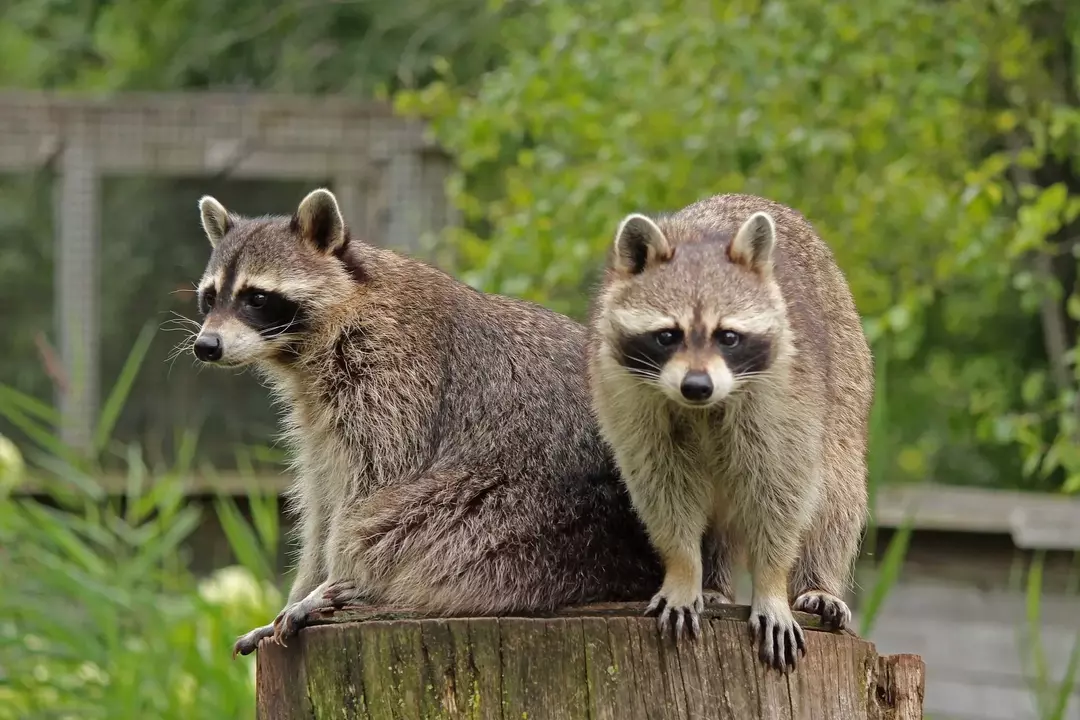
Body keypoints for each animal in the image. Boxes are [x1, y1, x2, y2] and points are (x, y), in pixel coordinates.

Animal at [189, 188, 721, 656]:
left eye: (257, 298)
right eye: (209, 298)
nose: (205, 346)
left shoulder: (397, 377)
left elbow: (372, 485)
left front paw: (337, 578)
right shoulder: (317, 415)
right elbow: (323, 498)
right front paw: (306, 582)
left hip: (531, 514)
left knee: (412, 525)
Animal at [587, 191, 872, 669]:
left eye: (728, 336)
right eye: (667, 335)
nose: (697, 386)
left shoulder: (786, 403)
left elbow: (782, 494)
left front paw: (772, 584)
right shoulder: (629, 400)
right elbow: (663, 490)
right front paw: (684, 569)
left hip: (847, 384)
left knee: (836, 496)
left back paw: (818, 580)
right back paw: (713, 584)